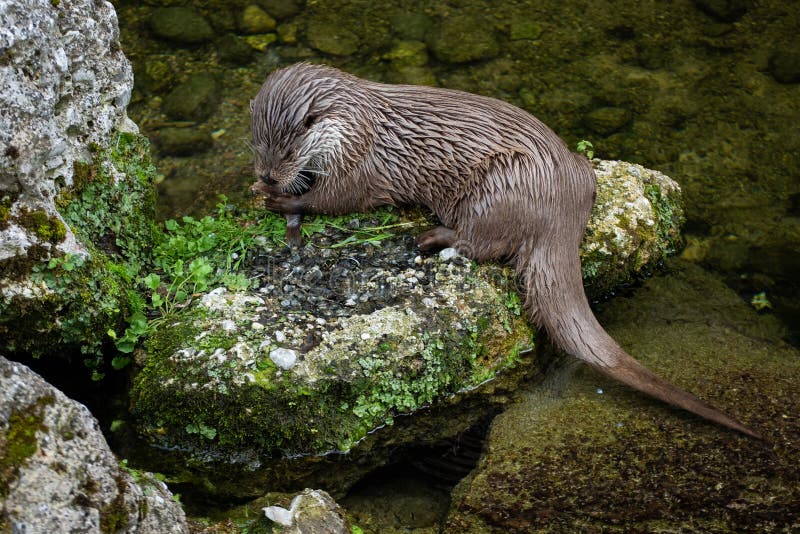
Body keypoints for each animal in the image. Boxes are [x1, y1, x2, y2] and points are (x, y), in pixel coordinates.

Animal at [249, 62, 760, 439]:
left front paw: (280, 199)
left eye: (289, 152)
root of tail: (562, 206)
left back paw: (431, 238)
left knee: (483, 244)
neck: (358, 127)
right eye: (257, 147)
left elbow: (334, 199)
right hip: (571, 175)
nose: (269, 175)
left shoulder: (361, 165)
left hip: (497, 189)